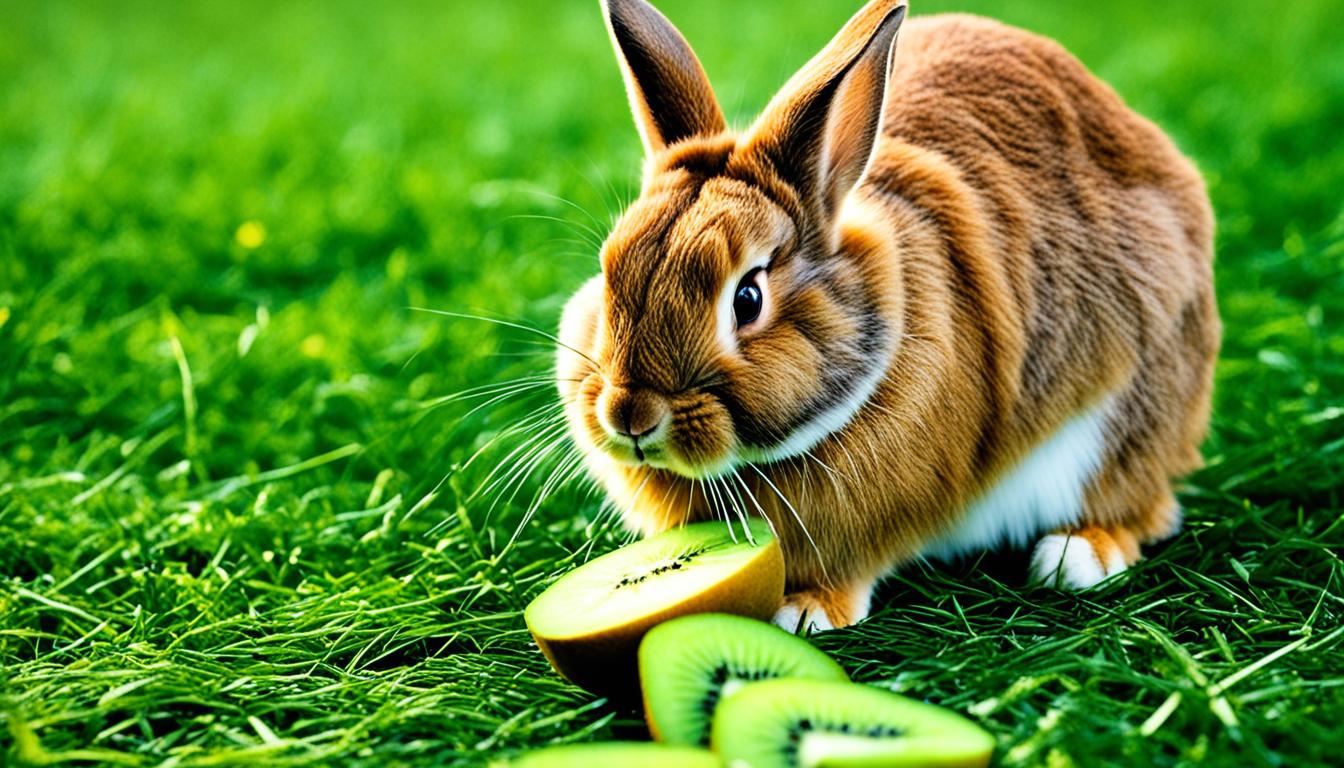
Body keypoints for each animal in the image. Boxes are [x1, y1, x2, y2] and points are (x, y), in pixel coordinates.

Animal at [555, 0, 1219, 630]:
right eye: (609, 270)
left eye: (747, 299)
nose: (631, 416)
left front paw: (809, 612)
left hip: (1131, 415)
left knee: (1142, 504)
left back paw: (1079, 555)